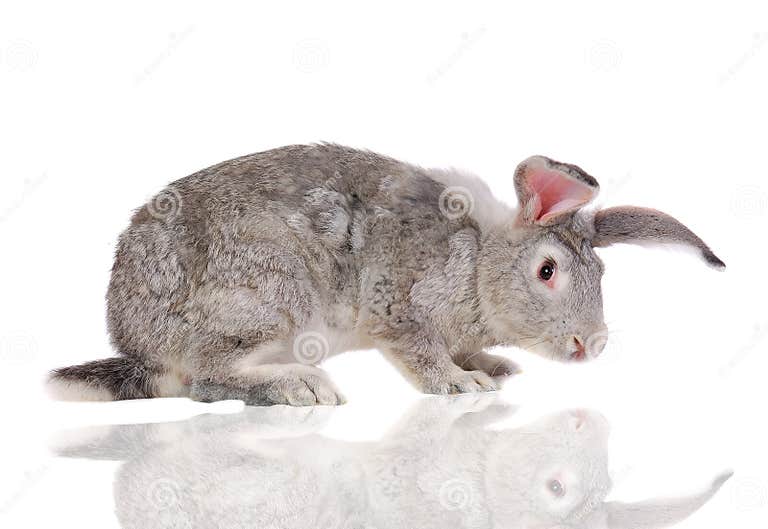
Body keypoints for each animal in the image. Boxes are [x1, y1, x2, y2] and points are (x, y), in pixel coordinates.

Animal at [47, 144, 725, 405]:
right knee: (207, 378)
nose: (592, 345)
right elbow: (421, 353)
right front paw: (463, 385)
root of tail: (143, 351)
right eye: (547, 270)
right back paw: (301, 387)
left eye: (602, 271)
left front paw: (494, 368)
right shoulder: (399, 311)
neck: (478, 263)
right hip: (269, 296)